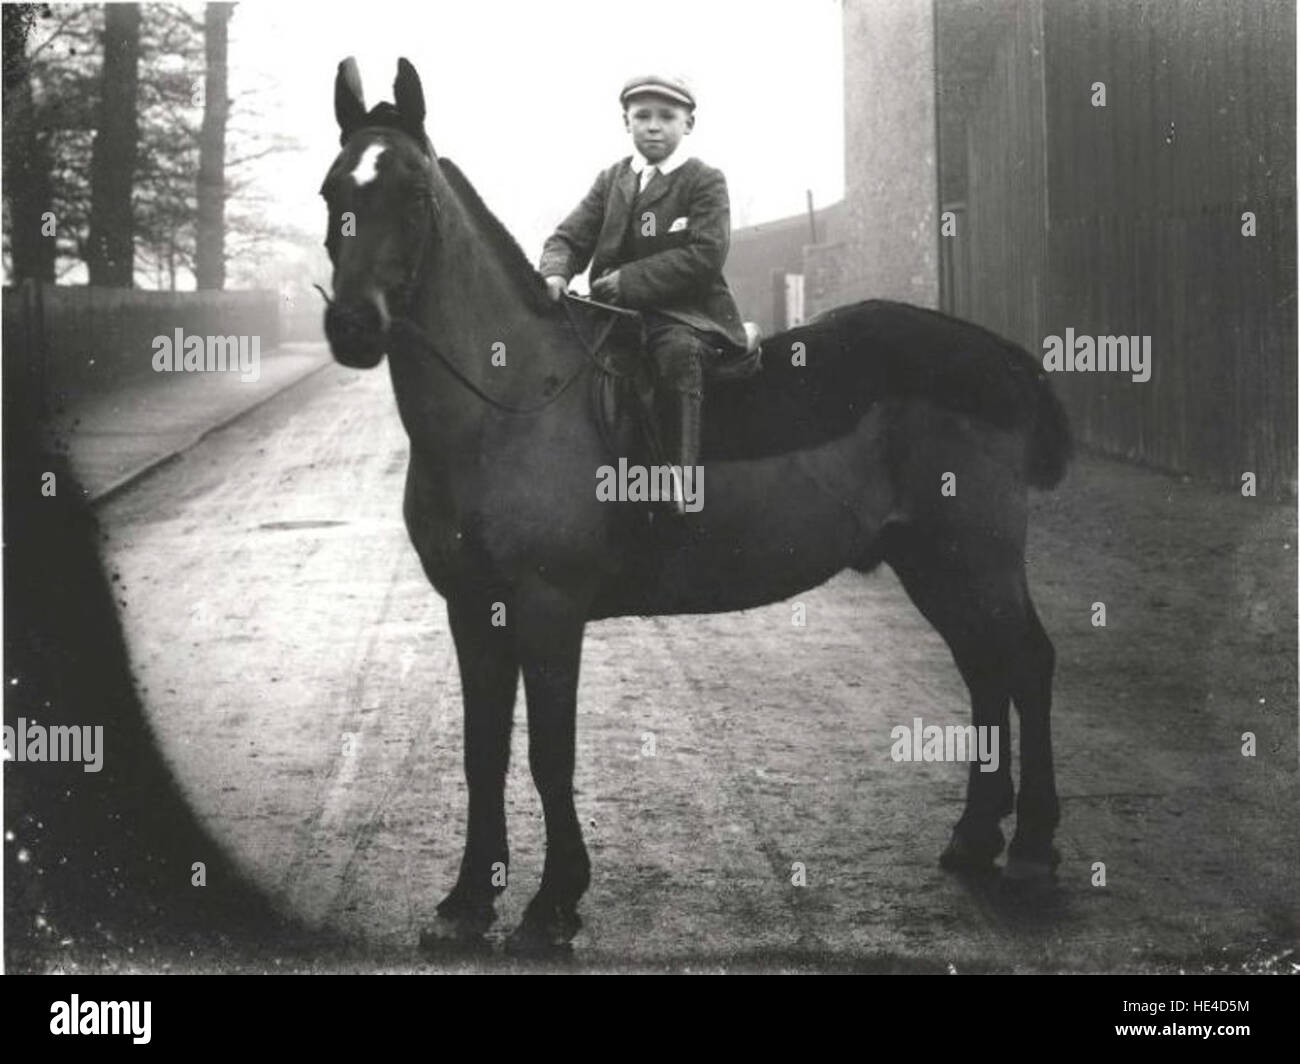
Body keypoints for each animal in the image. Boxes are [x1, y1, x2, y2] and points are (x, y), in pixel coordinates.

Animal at [319, 57, 1072, 955]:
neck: (509, 402)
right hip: (932, 561)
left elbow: (549, 754)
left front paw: (553, 902)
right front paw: (469, 898)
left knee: (1025, 664)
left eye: (413, 194)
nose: (352, 326)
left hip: (974, 558)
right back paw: (974, 837)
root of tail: (998, 355)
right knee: (986, 669)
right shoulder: (473, 608)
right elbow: (482, 752)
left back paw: (1031, 848)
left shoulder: (548, 606)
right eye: (332, 190)